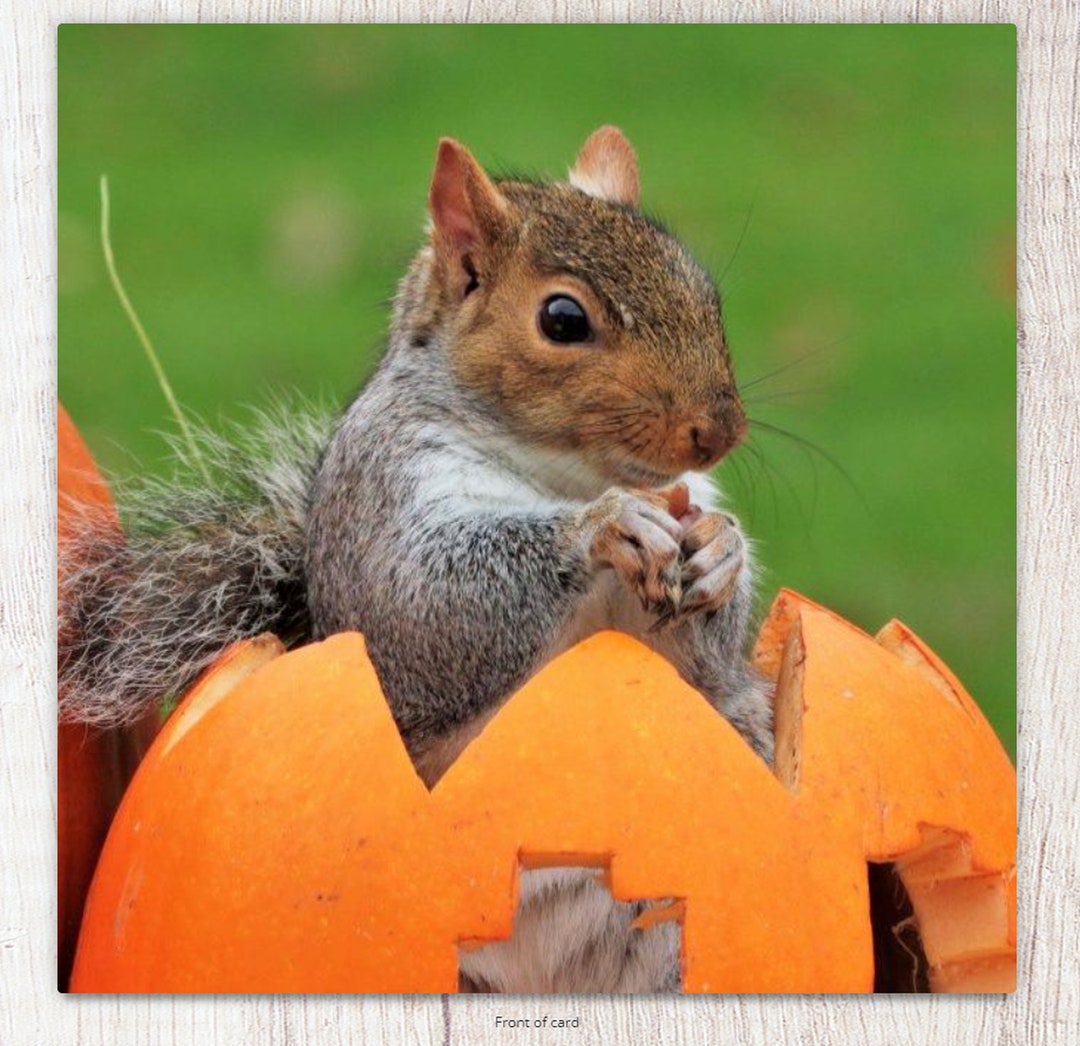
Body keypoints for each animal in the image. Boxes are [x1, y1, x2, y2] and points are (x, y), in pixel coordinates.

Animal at [59, 127, 774, 992]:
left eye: (704, 291)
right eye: (563, 319)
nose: (720, 430)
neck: (564, 472)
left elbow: (698, 663)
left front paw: (722, 550)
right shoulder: (382, 502)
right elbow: (428, 604)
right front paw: (602, 525)